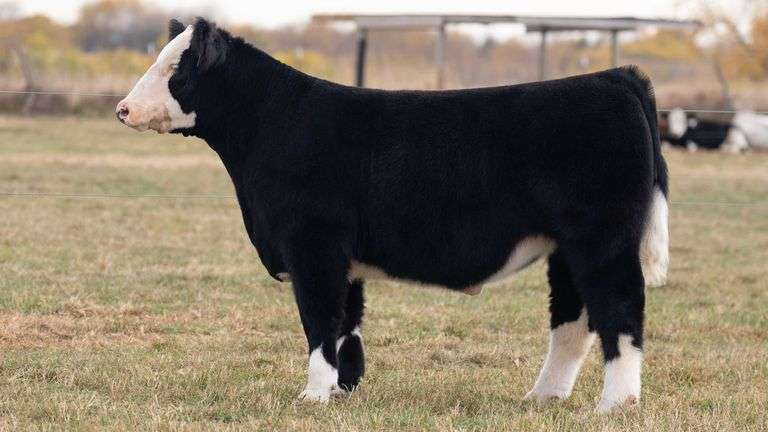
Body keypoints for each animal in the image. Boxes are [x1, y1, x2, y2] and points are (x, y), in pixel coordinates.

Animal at [116, 18, 669, 413]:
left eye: (176, 69)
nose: (122, 109)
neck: (274, 123)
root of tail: (615, 78)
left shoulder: (313, 244)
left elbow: (319, 317)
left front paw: (312, 396)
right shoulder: (341, 256)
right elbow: (347, 320)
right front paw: (343, 389)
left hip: (603, 239)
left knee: (620, 308)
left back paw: (616, 403)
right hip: (566, 247)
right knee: (573, 319)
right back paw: (543, 396)